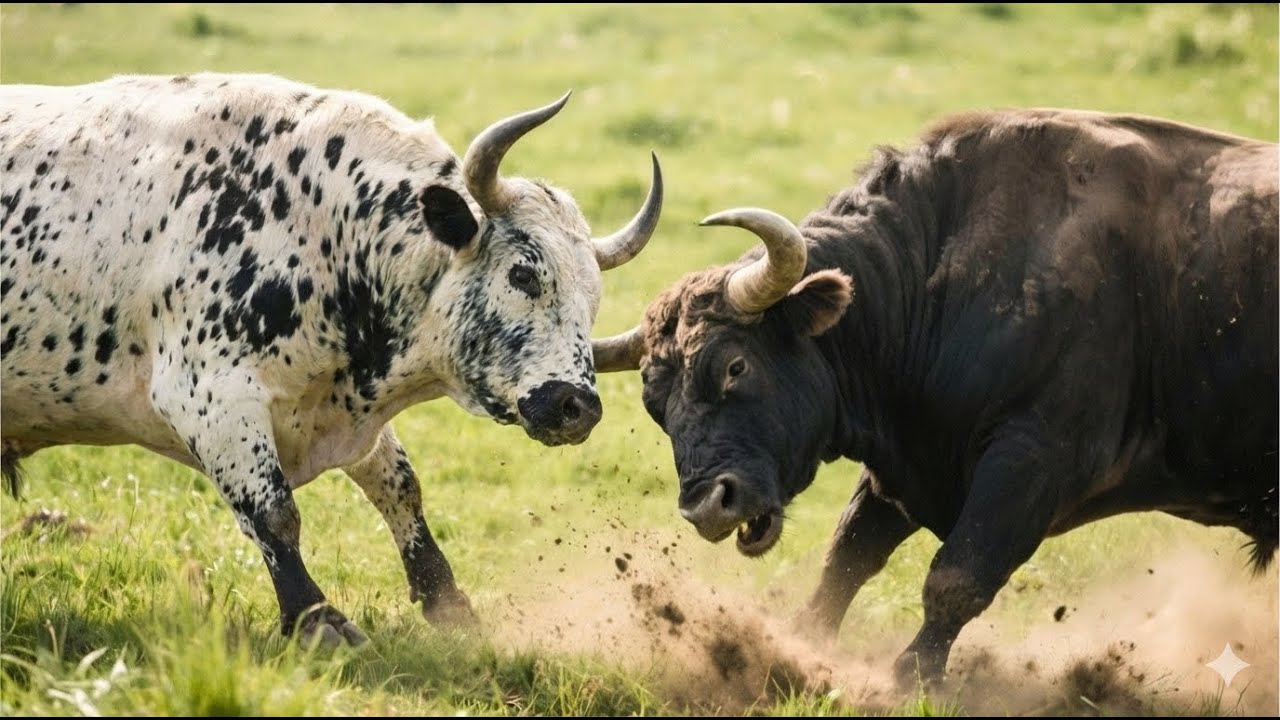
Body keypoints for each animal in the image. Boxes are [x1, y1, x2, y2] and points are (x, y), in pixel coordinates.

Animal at [0, 72, 662, 647]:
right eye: (524, 273)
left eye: (593, 297)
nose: (578, 406)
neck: (316, 227)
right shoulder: (211, 399)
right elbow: (273, 512)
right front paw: (317, 622)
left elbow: (401, 488)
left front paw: (448, 604)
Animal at [594, 109, 1278, 685]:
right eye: (655, 404)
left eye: (735, 365)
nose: (708, 505)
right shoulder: (910, 462)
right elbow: (847, 558)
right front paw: (799, 649)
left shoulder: (1033, 463)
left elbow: (957, 578)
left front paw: (912, 677)